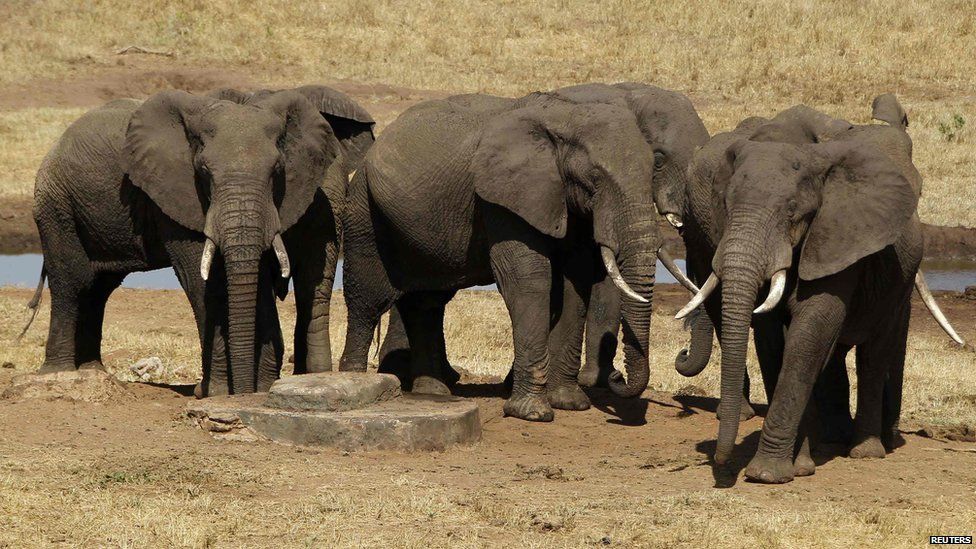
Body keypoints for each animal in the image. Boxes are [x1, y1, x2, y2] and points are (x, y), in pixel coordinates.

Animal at [24, 86, 373, 396]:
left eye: (277, 170)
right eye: (203, 172)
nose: (244, 392)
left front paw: (250, 388)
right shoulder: (174, 189)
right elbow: (201, 278)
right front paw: (215, 392)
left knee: (99, 287)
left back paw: (92, 371)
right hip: (55, 203)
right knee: (72, 281)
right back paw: (58, 373)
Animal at [673, 95, 964, 483]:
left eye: (793, 212)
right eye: (726, 206)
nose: (720, 462)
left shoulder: (839, 236)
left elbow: (813, 326)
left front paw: (767, 474)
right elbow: (774, 337)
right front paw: (797, 466)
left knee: (873, 354)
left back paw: (865, 451)